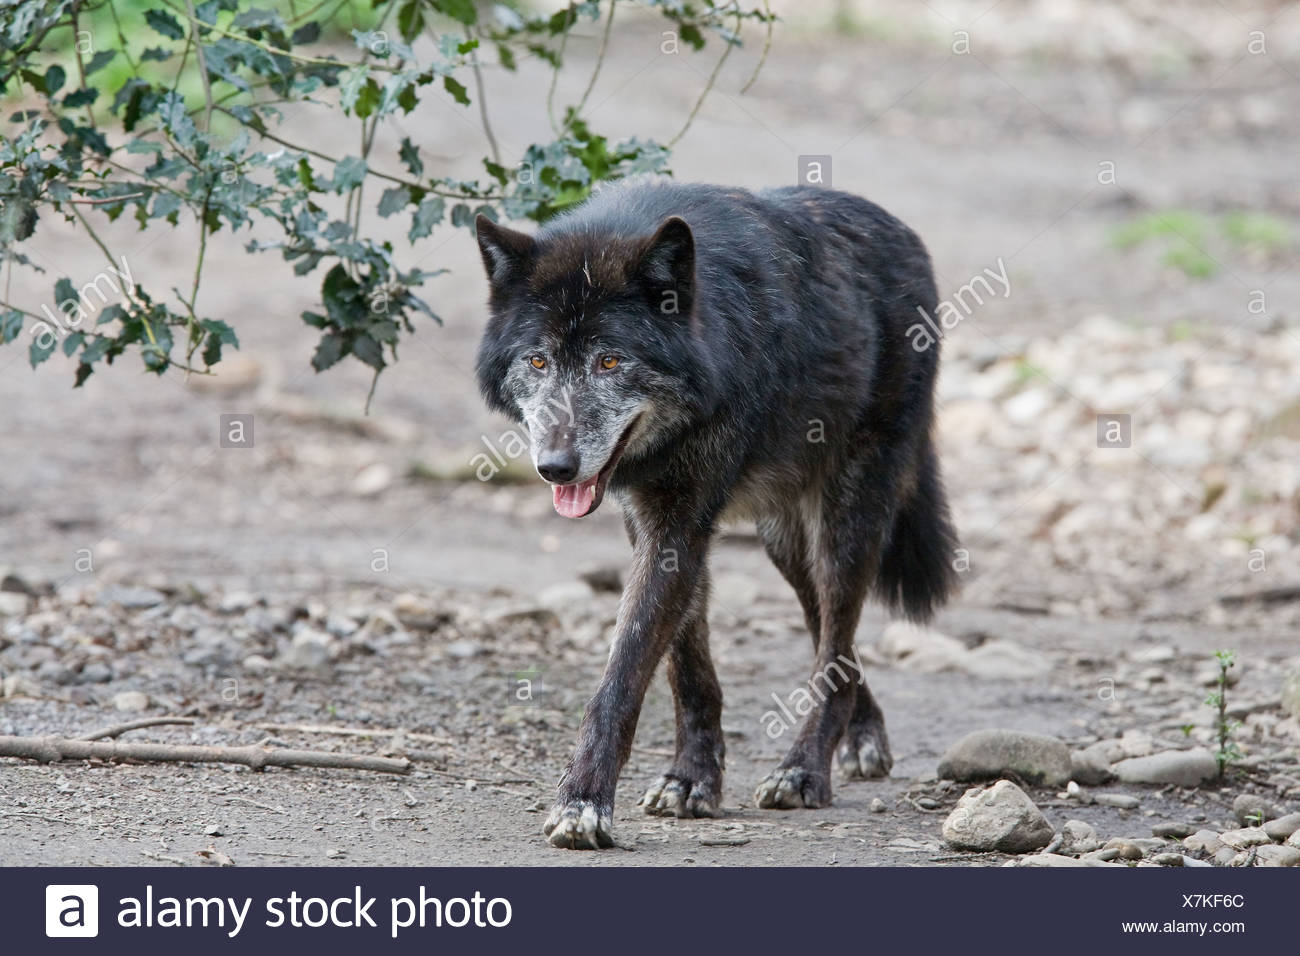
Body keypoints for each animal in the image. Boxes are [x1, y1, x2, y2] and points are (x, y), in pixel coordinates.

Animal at [474, 180, 957, 849]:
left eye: (609, 362)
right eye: (538, 361)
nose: (556, 467)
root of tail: (902, 231)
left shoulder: (681, 522)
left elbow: (625, 672)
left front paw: (583, 802)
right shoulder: (656, 521)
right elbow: (686, 663)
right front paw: (692, 777)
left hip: (845, 519)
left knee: (835, 633)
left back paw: (805, 770)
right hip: (784, 541)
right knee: (831, 636)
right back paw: (863, 735)